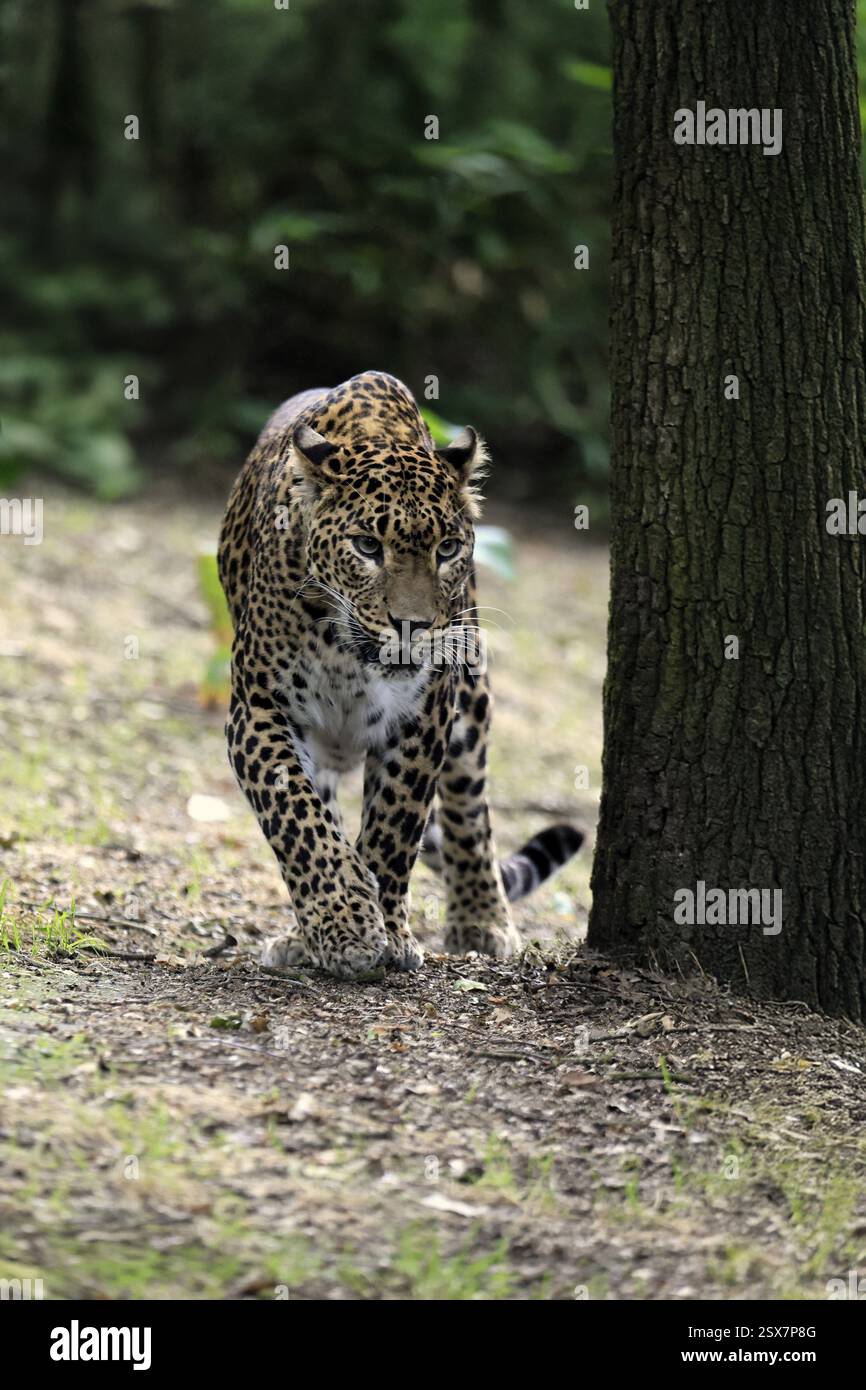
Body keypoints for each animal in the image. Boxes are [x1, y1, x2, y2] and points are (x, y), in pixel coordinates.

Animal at [218, 370, 583, 980]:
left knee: (469, 809)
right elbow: (299, 819)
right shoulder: (258, 709)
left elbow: (394, 827)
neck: (344, 650)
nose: (412, 625)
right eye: (367, 545)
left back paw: (482, 919)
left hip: (472, 694)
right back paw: (303, 935)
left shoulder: (424, 717)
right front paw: (344, 925)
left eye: (448, 548)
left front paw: (385, 930)